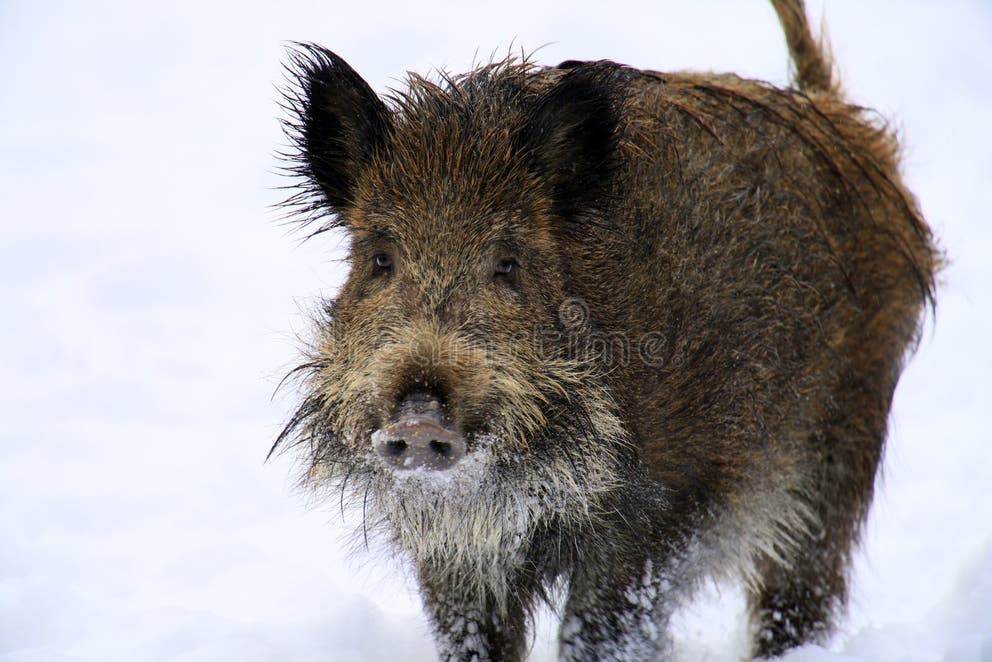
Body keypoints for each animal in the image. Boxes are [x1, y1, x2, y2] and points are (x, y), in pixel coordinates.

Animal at [270, 0, 939, 658]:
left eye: (508, 263)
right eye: (379, 258)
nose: (418, 420)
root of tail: (840, 118)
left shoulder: (664, 509)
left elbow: (600, 628)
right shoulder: (453, 548)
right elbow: (473, 635)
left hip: (839, 447)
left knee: (802, 590)